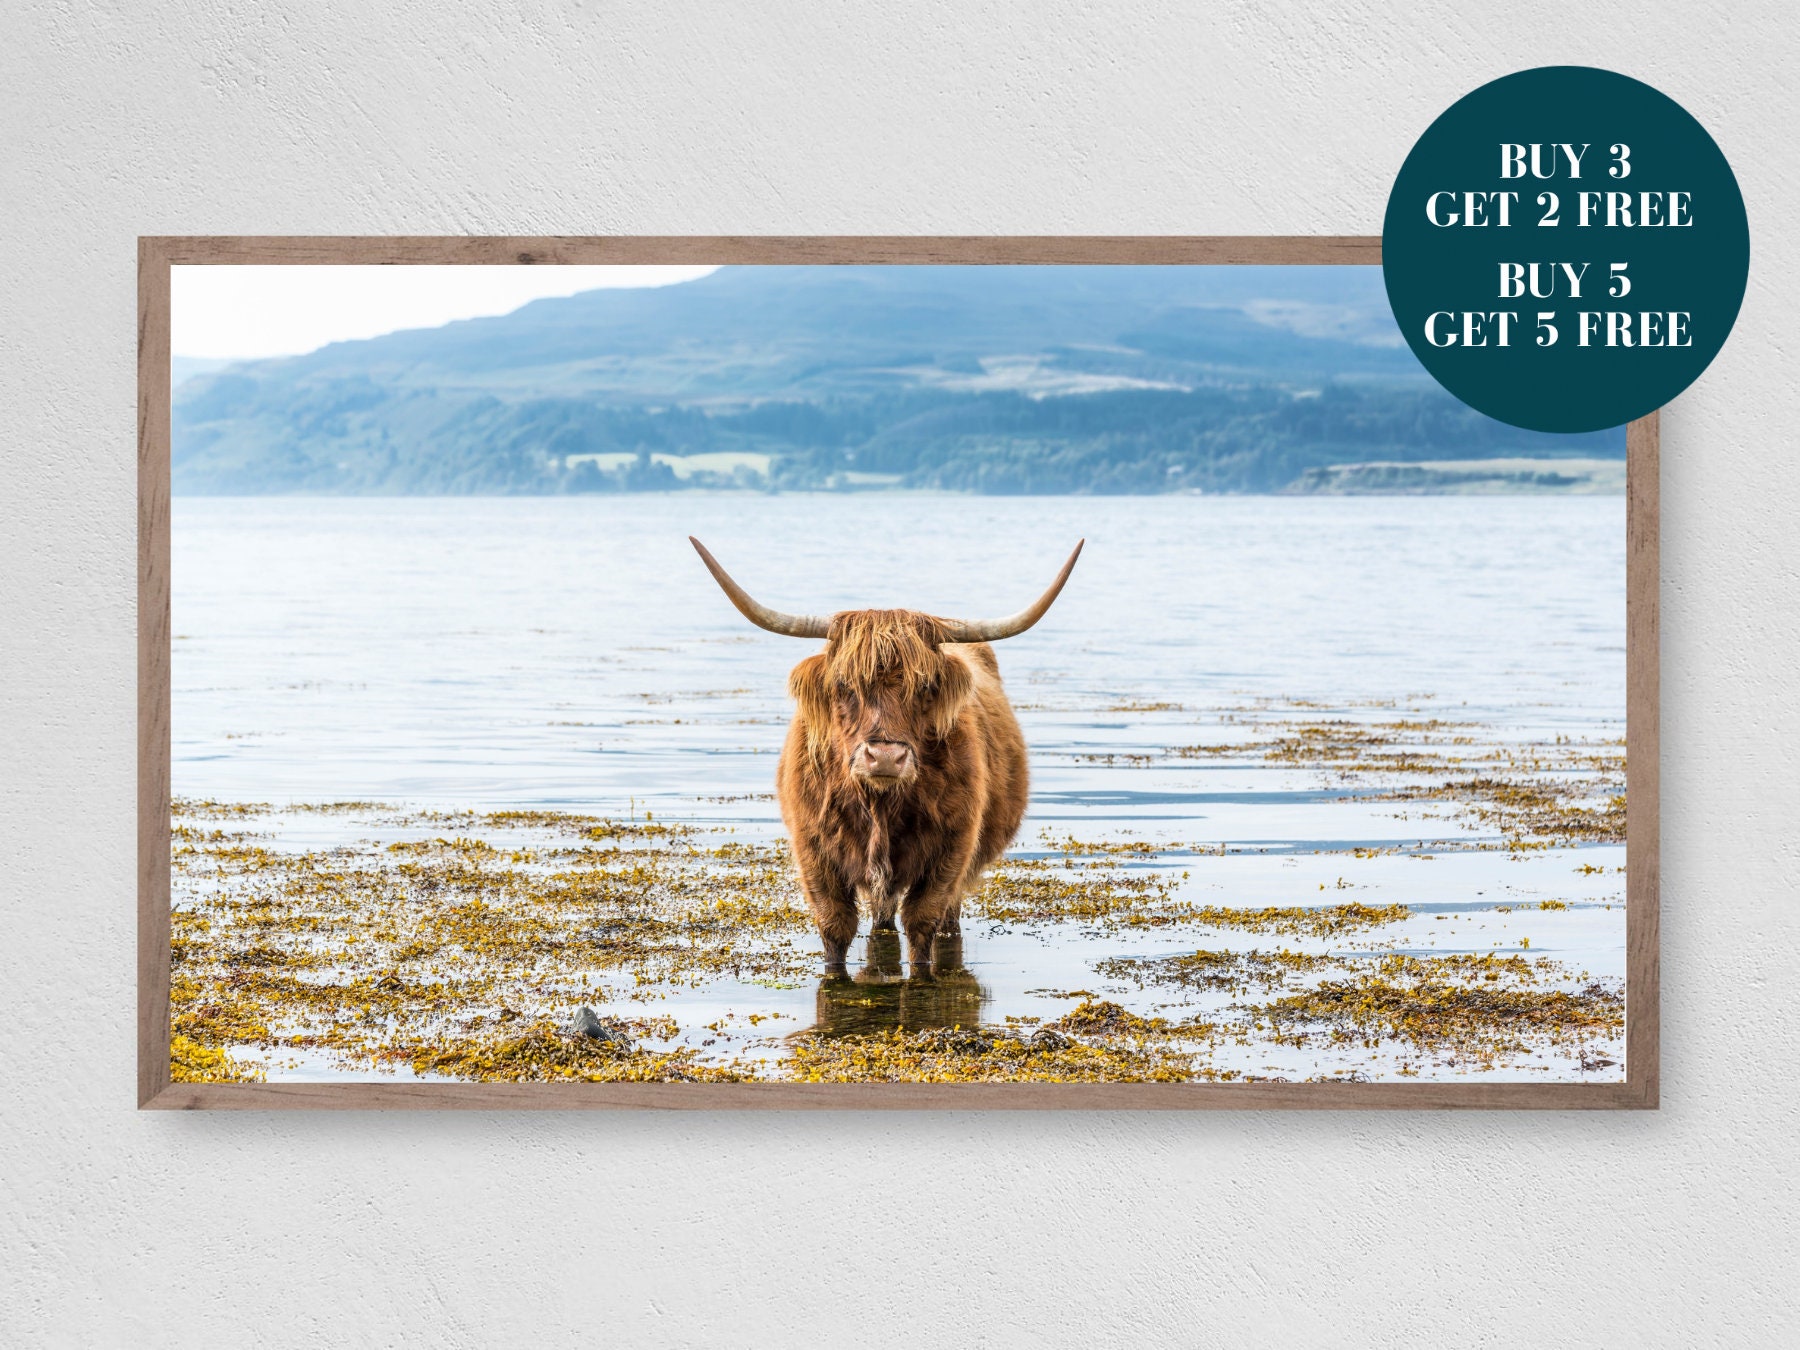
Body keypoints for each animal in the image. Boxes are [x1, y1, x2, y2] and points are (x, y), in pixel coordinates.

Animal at [690, 536, 1083, 978]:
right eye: (843, 684)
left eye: (926, 686)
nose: (884, 757)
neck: (879, 804)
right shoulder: (813, 852)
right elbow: (835, 926)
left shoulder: (951, 850)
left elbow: (922, 924)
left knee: (946, 920)